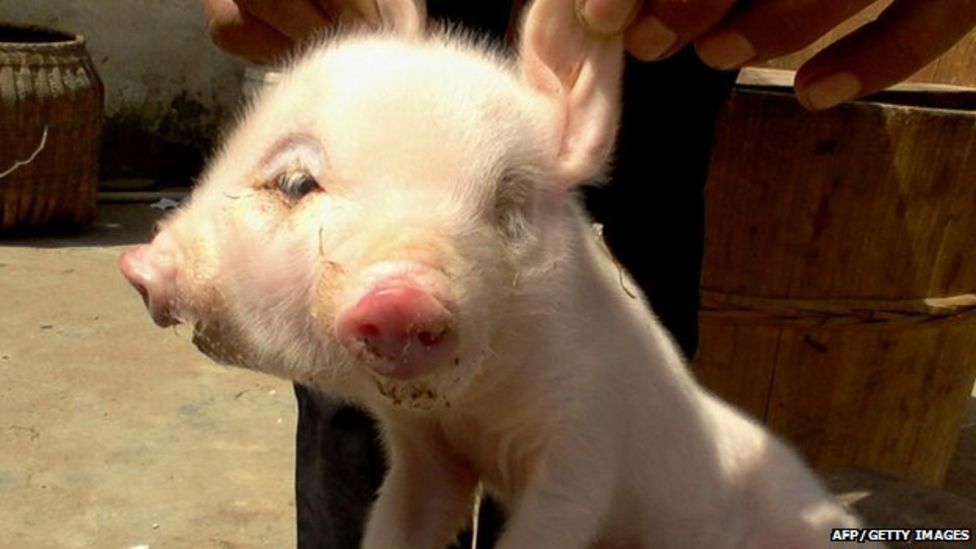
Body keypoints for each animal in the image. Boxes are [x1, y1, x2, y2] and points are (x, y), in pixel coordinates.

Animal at [119, 0, 874, 547]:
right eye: (297, 182)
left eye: (508, 202)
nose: (401, 296)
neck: (480, 408)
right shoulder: (425, 450)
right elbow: (403, 518)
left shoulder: (586, 443)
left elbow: (558, 516)